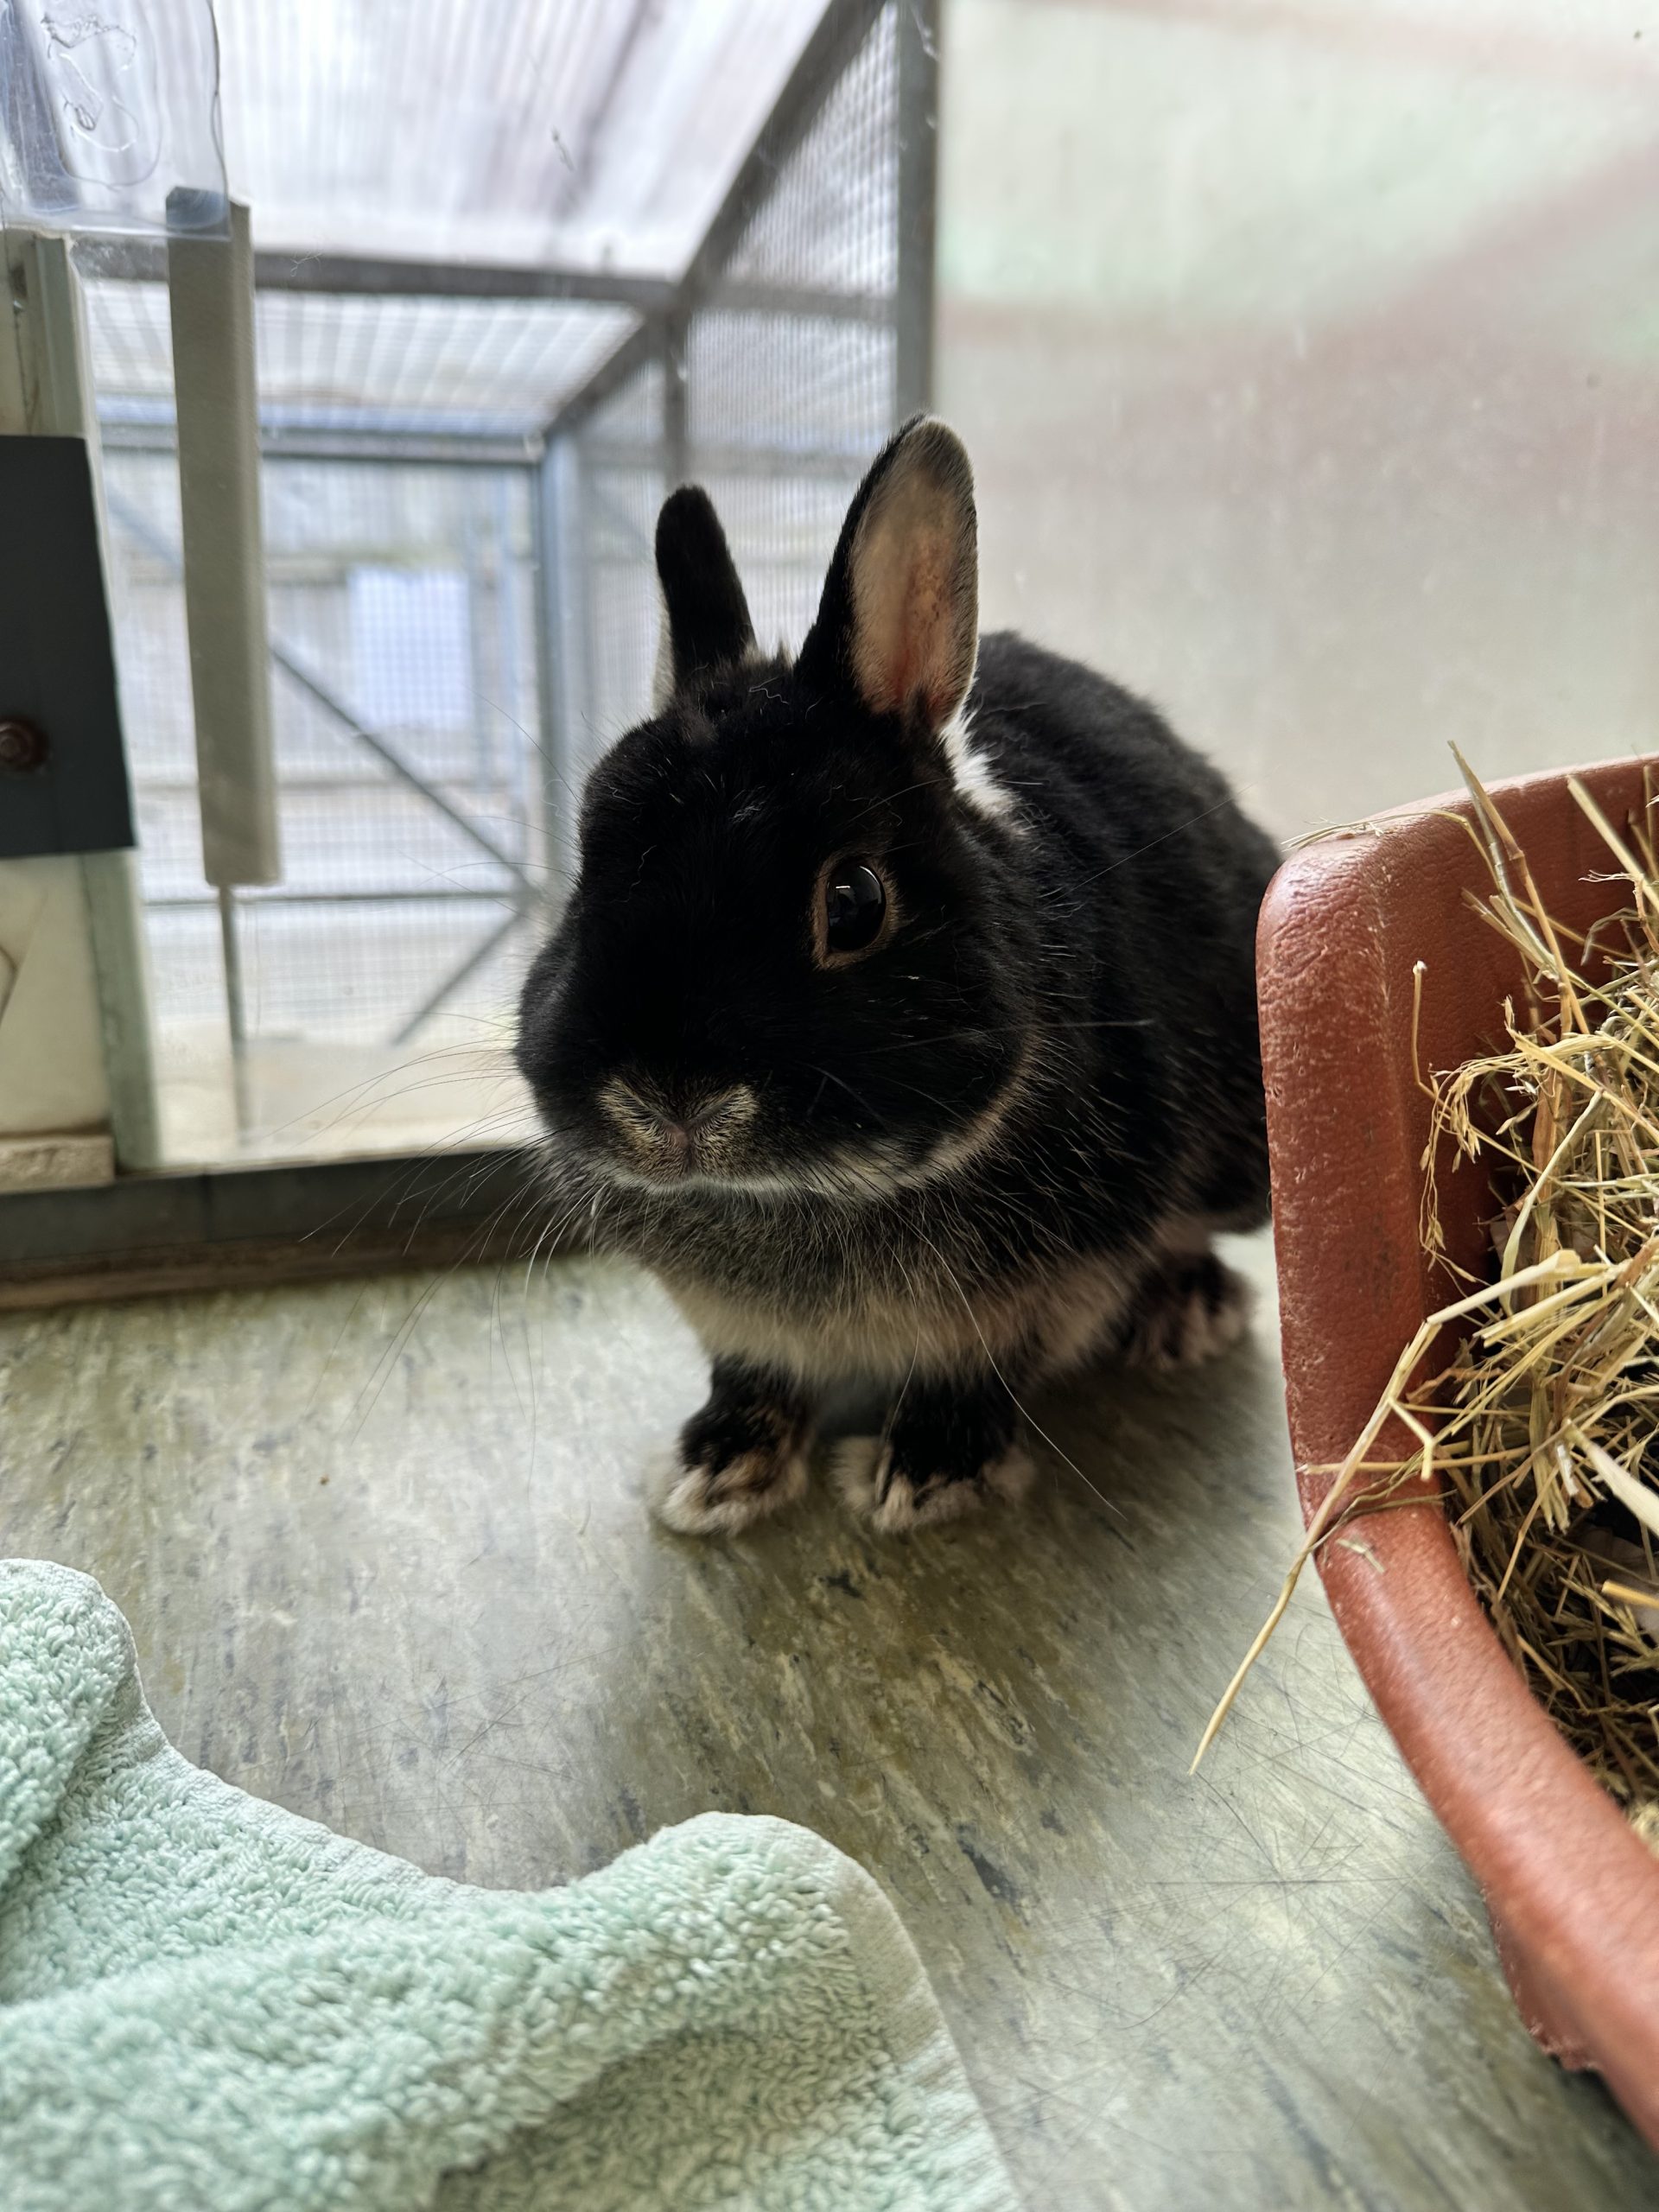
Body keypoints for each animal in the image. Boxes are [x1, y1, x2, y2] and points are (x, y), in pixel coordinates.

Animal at [515, 415, 1280, 1536]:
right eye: (584, 869)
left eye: (855, 902)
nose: (666, 1103)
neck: (802, 1198)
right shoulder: (732, 1324)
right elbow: (751, 1377)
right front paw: (715, 1473)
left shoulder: (1045, 1291)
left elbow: (979, 1372)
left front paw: (922, 1477)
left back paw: (1186, 1313)